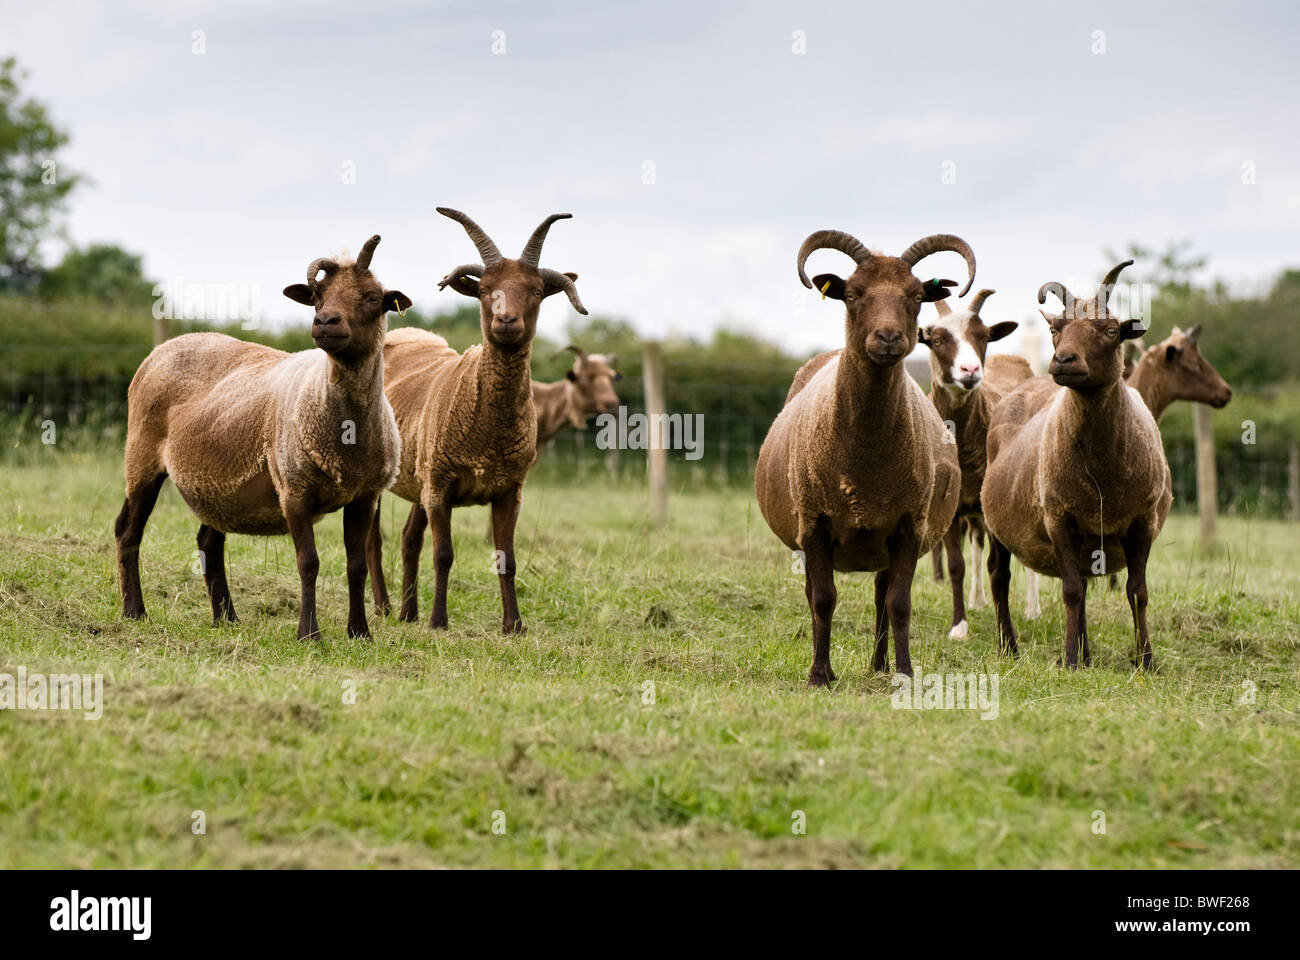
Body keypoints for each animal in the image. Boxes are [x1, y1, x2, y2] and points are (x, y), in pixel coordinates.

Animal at [115, 236, 410, 640]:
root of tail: (162, 348)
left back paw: (226, 617)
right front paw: (308, 633)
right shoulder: (294, 490)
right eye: (318, 296)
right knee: (128, 532)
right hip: (142, 457)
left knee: (208, 542)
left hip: (215, 483)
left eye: (372, 296)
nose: (324, 322)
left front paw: (359, 632)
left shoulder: (364, 496)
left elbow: (357, 565)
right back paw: (135, 611)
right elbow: (308, 563)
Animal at [366, 208, 587, 633]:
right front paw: (438, 621)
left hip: (421, 476)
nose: (506, 321)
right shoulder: (442, 487)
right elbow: (444, 555)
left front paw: (514, 625)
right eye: (484, 290)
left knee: (408, 538)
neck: (490, 431)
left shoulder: (508, 491)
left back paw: (407, 612)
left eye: (536, 291)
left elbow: (507, 559)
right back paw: (385, 607)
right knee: (374, 539)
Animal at [754, 228, 972, 684]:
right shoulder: (814, 526)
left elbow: (900, 604)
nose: (887, 338)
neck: (866, 457)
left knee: (881, 596)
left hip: (883, 544)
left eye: (916, 295)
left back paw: (879, 665)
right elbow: (823, 600)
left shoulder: (908, 527)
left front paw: (905, 673)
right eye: (852, 294)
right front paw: (820, 675)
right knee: (816, 595)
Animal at [916, 289, 1030, 640]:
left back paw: (1032, 609)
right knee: (977, 548)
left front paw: (1006, 633)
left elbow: (1000, 569)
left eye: (983, 337)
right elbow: (957, 565)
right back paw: (977, 601)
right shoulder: (952, 507)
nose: (970, 370)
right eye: (936, 339)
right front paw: (959, 626)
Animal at [981, 260, 1172, 668]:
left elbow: (1138, 591)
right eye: (1056, 330)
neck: (1102, 469)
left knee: (1083, 581)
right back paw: (1009, 647)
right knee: (999, 577)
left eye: (1111, 330)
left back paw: (1086, 653)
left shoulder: (1142, 520)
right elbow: (1069, 591)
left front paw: (1145, 659)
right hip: (995, 523)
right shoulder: (1059, 518)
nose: (1064, 361)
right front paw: (1068, 659)